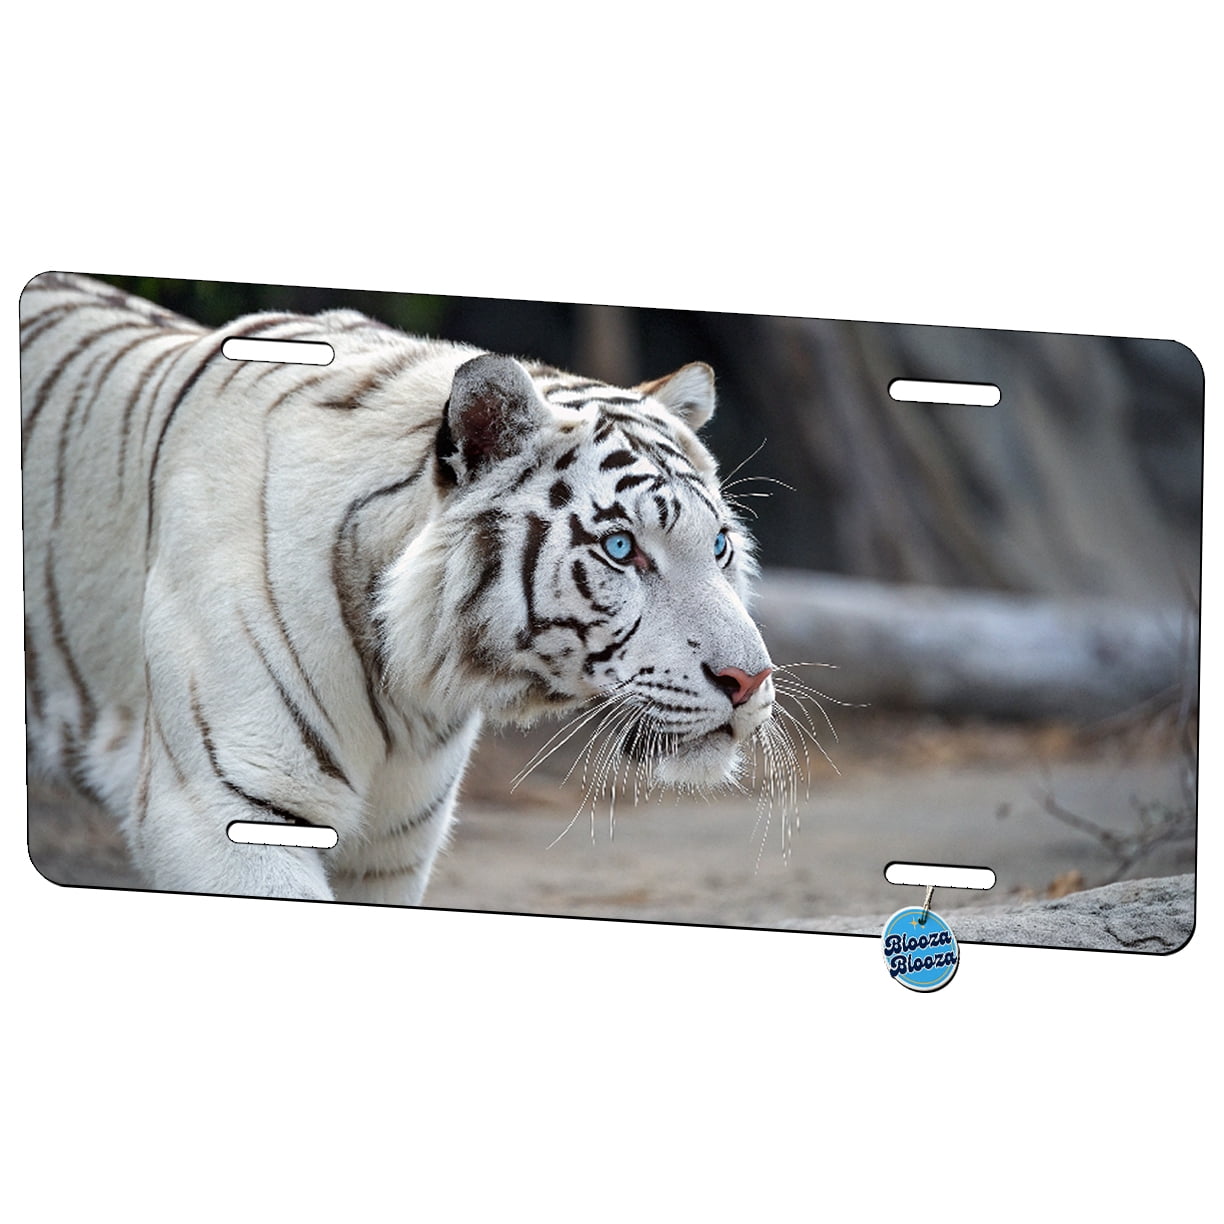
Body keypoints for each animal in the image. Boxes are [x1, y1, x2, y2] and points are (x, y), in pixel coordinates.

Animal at [21, 272, 782, 906]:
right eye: (622, 548)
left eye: (718, 545)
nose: (749, 680)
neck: (409, 686)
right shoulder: (222, 812)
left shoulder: (392, 849)